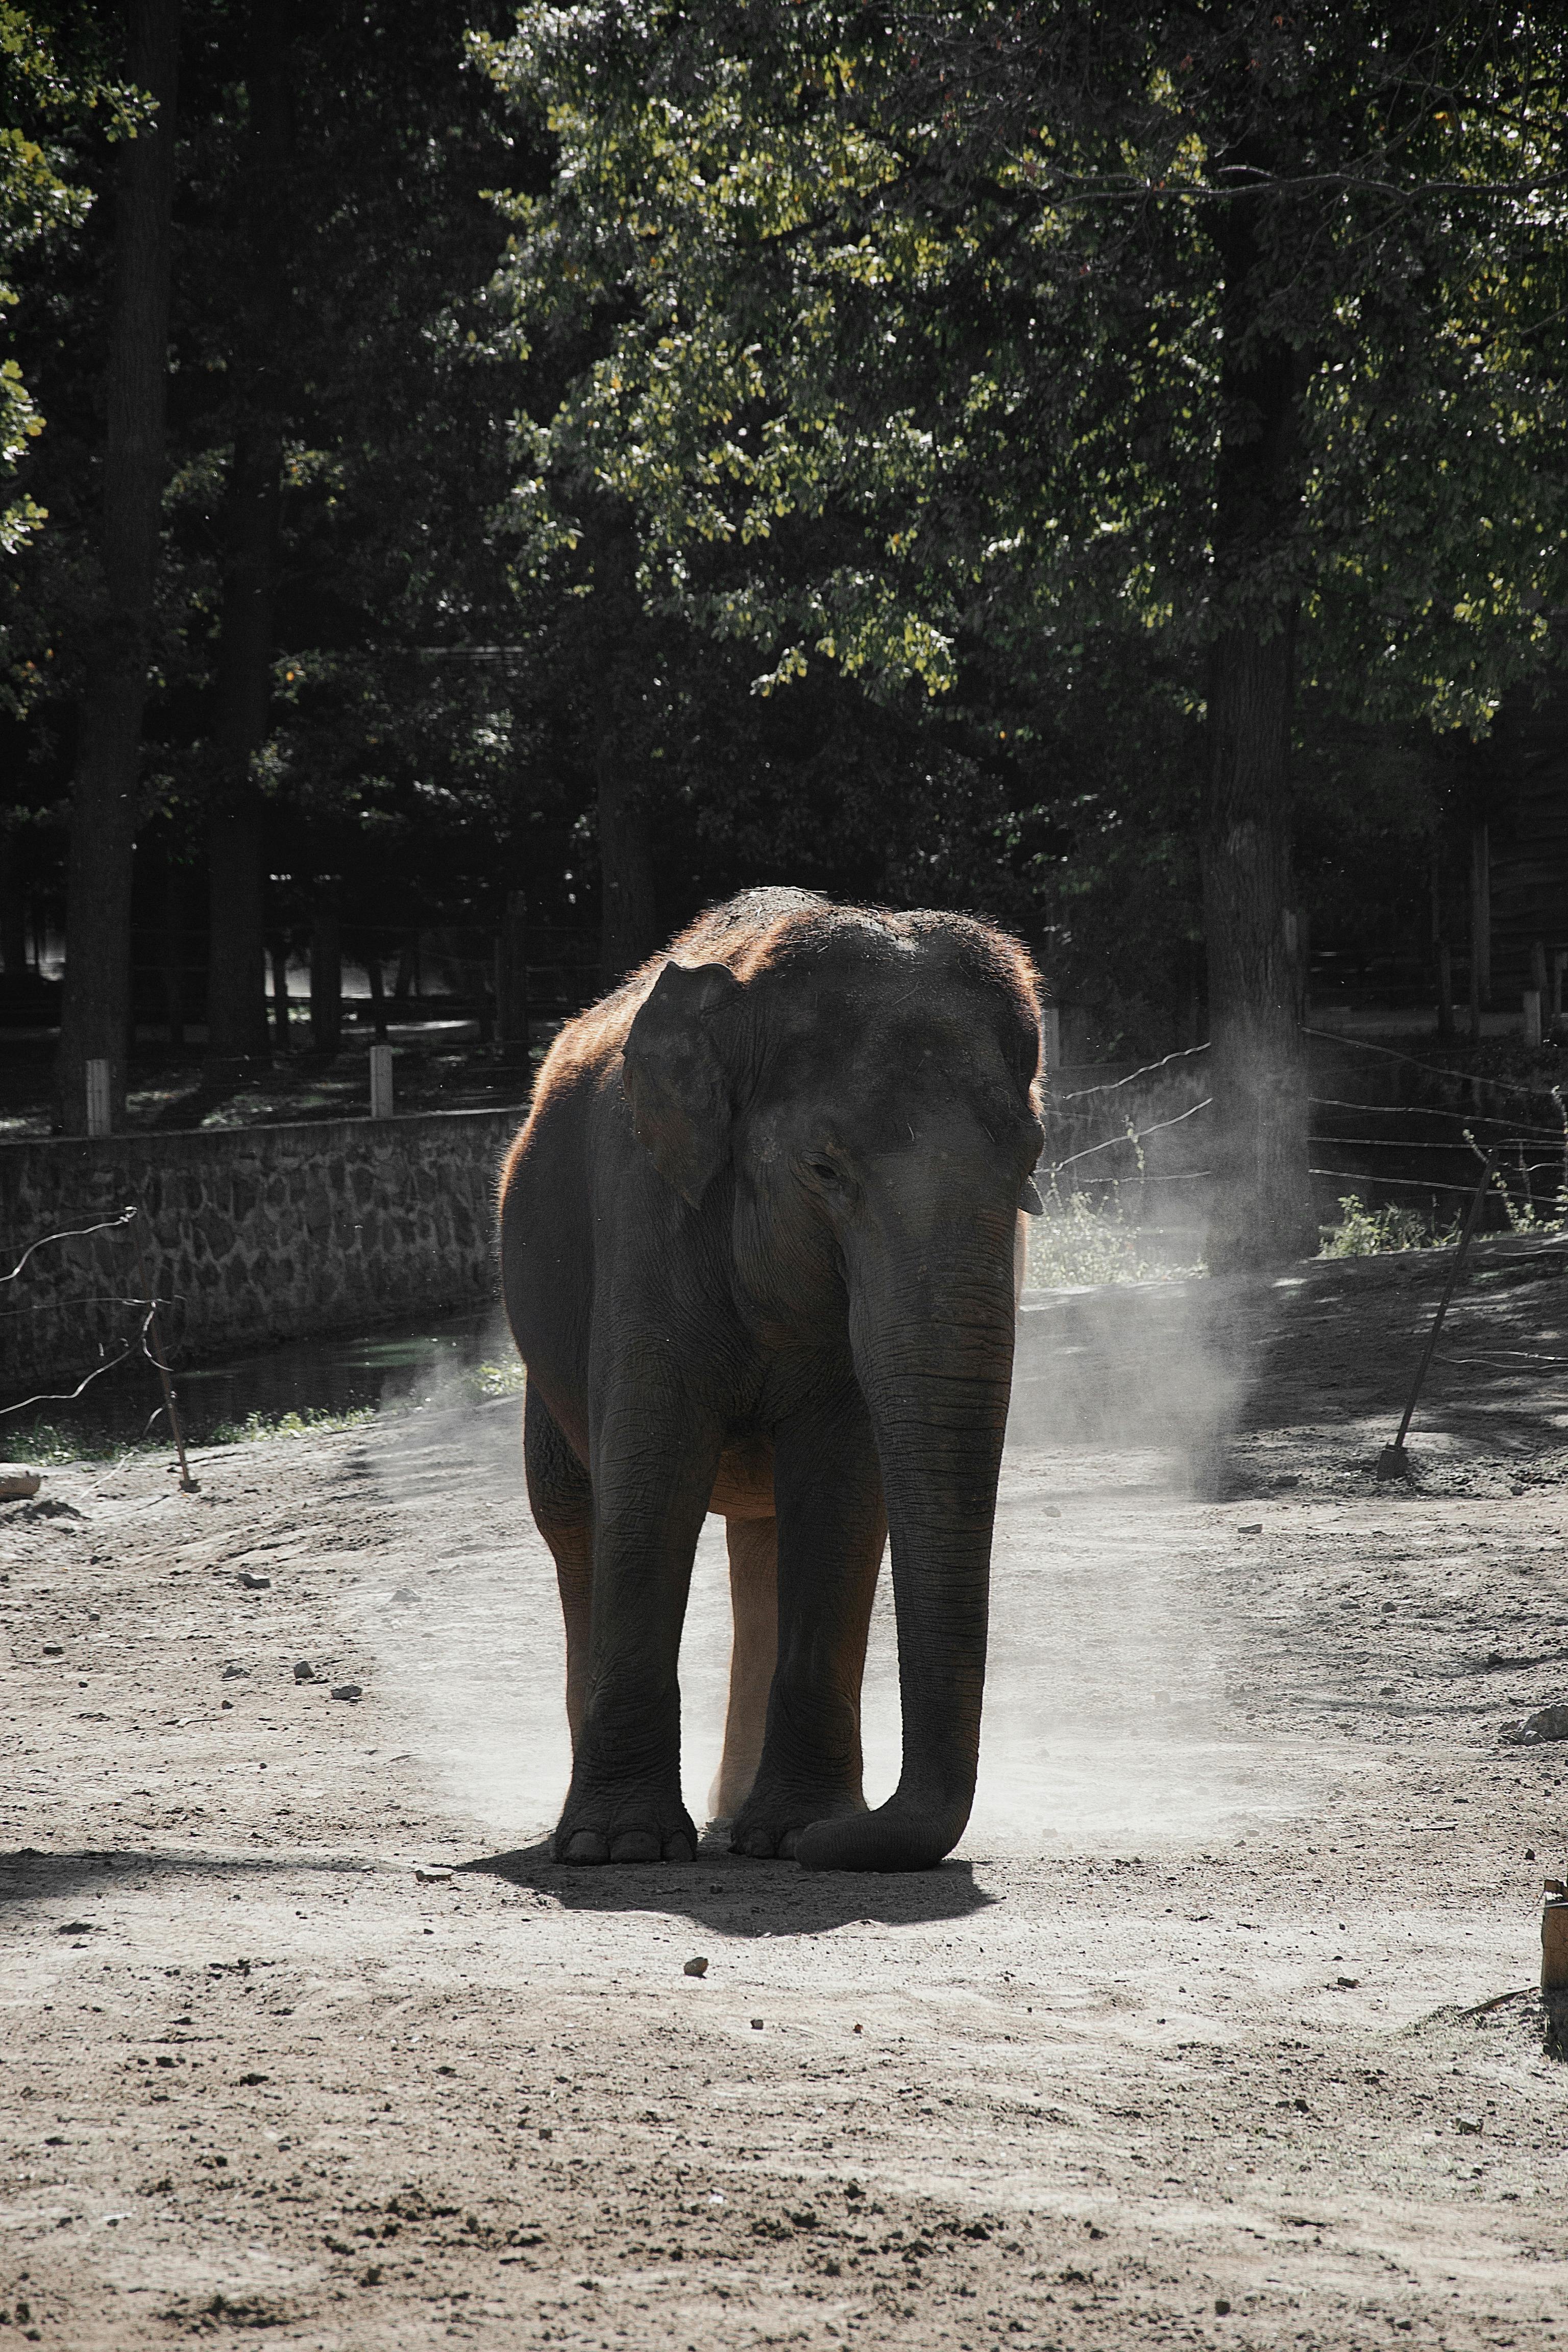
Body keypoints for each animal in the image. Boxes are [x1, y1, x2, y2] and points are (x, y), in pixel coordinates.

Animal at [499, 887, 1044, 1871]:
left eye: (1030, 1164)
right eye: (822, 1169)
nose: (845, 1839)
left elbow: (839, 1488)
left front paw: (792, 1831)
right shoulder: (647, 1215)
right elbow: (653, 1474)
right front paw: (621, 1847)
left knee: (762, 1544)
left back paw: (736, 1822)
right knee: (571, 1518)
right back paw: (590, 1824)